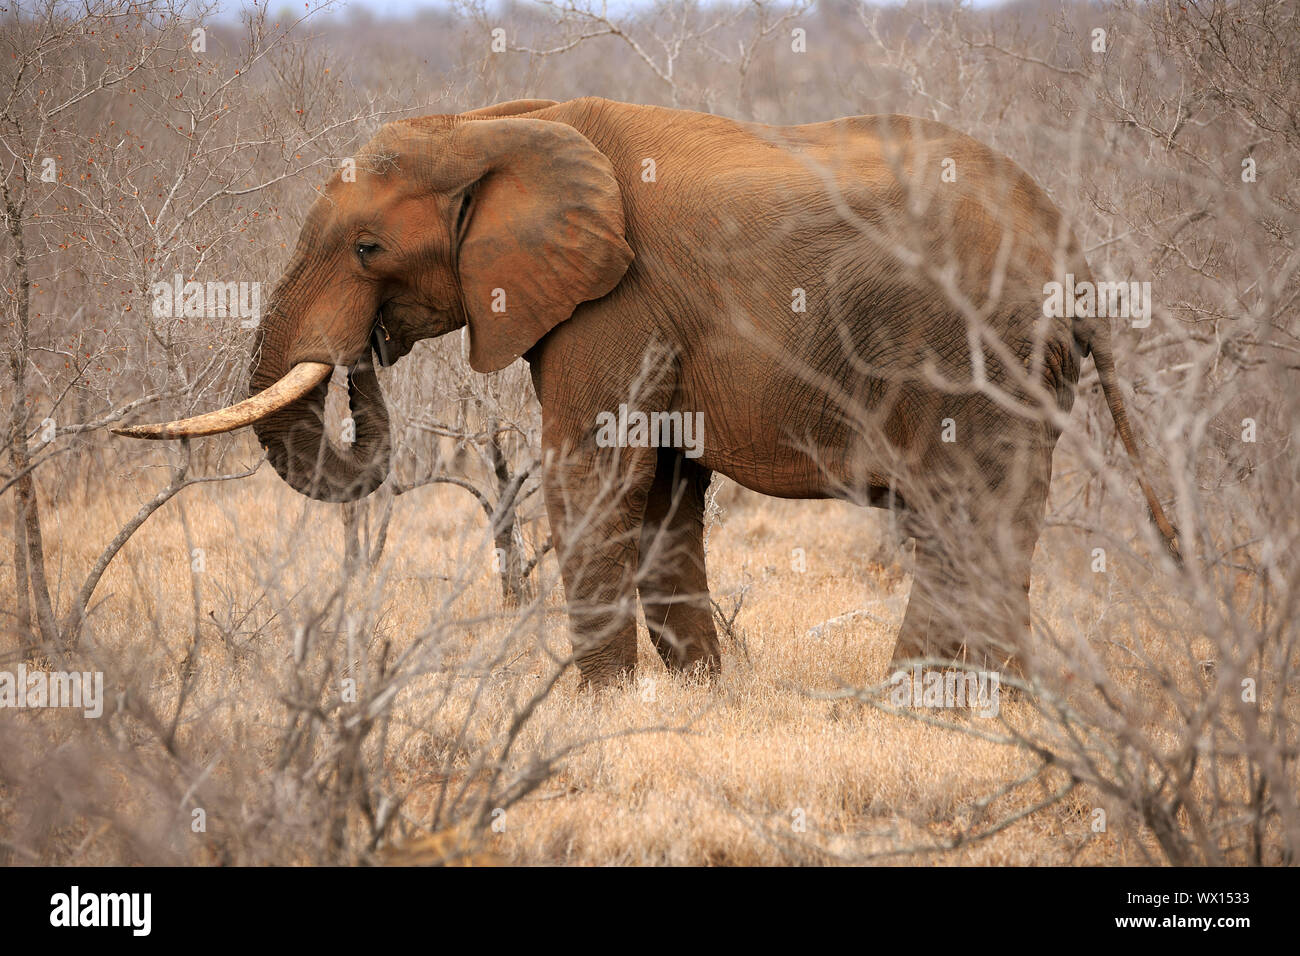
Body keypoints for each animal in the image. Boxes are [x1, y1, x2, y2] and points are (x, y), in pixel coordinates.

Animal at [116, 97, 1179, 688]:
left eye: (368, 247)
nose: (363, 353)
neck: (493, 122)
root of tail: (1074, 248)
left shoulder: (614, 302)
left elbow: (592, 481)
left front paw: (598, 704)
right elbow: (666, 494)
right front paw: (703, 693)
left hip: (974, 350)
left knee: (963, 517)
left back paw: (915, 700)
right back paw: (997, 704)